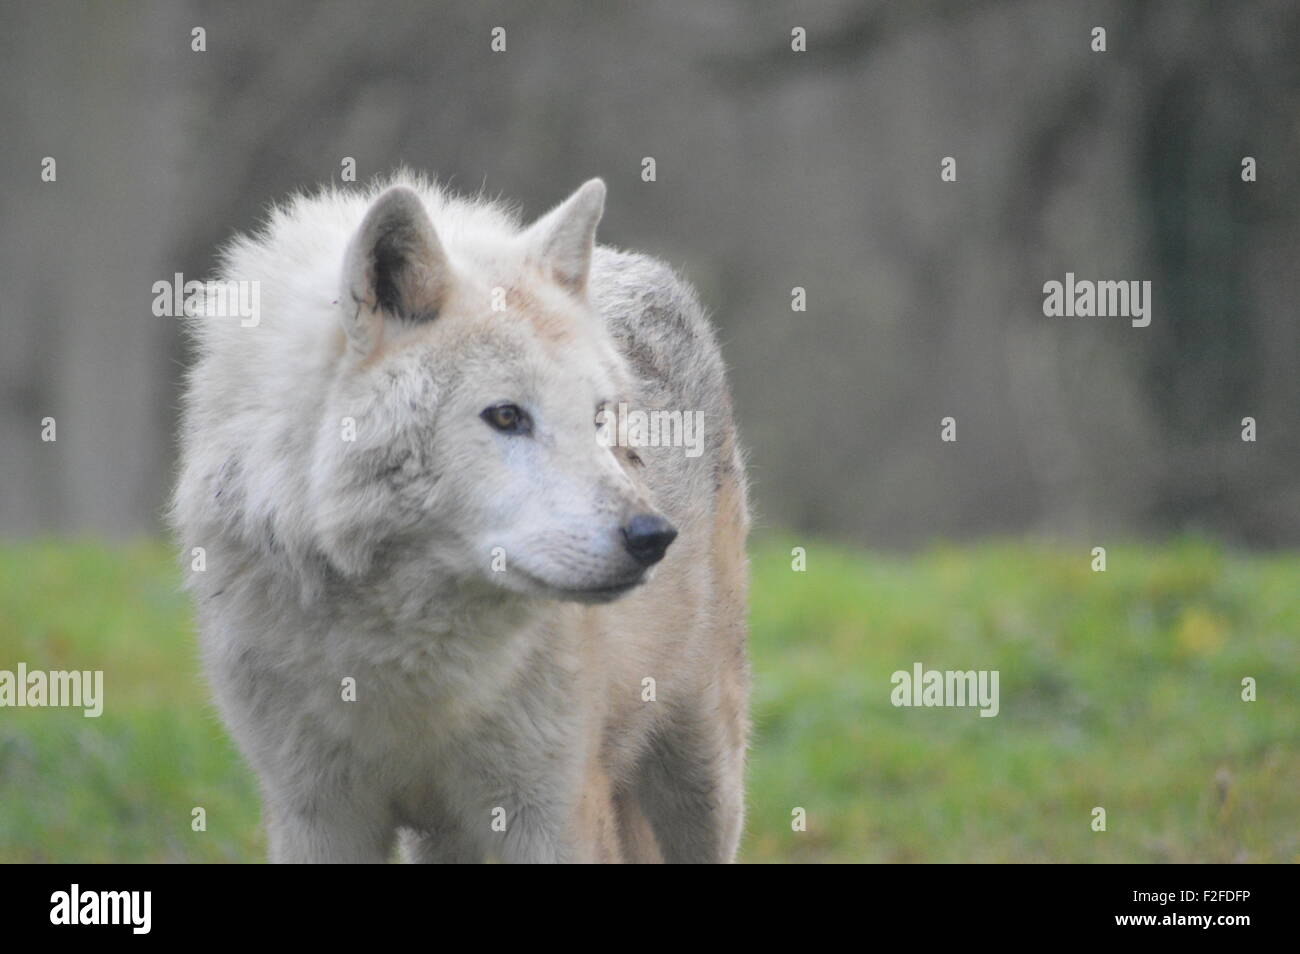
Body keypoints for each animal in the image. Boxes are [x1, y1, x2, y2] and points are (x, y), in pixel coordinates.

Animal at [170, 173, 750, 863]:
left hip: (703, 781)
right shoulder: (316, 817)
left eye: (599, 418)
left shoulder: (551, 813)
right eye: (506, 416)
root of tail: (641, 264)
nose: (654, 536)